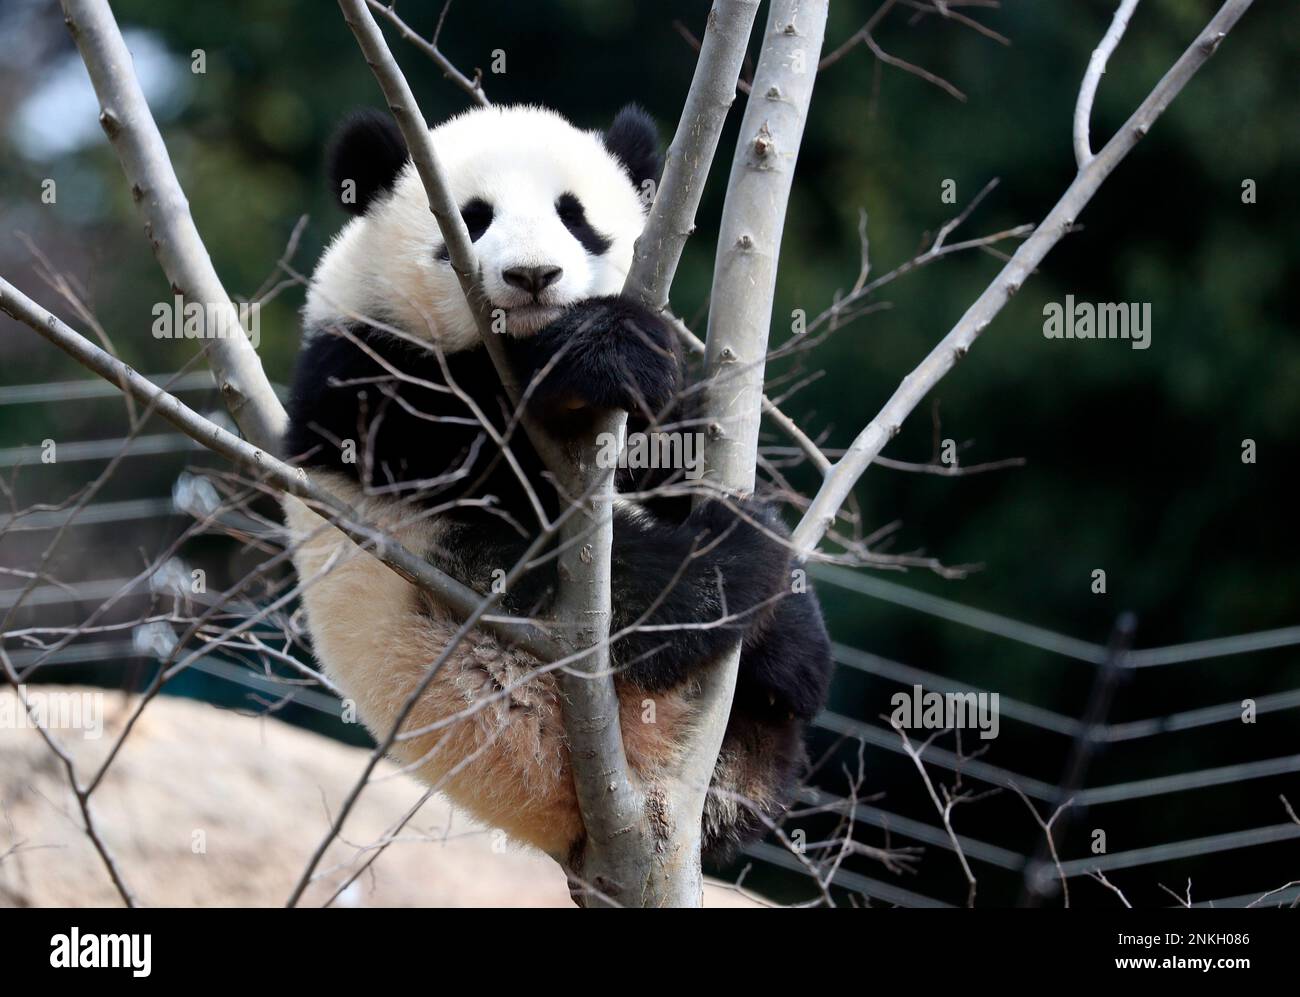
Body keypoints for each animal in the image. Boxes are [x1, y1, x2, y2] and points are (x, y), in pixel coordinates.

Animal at [281, 103, 833, 865]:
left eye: (575, 216)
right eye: (471, 218)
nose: (533, 275)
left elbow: (665, 444)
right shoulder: (359, 365)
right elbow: (454, 438)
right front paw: (596, 353)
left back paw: (795, 657)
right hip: (470, 612)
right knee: (635, 590)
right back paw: (741, 558)